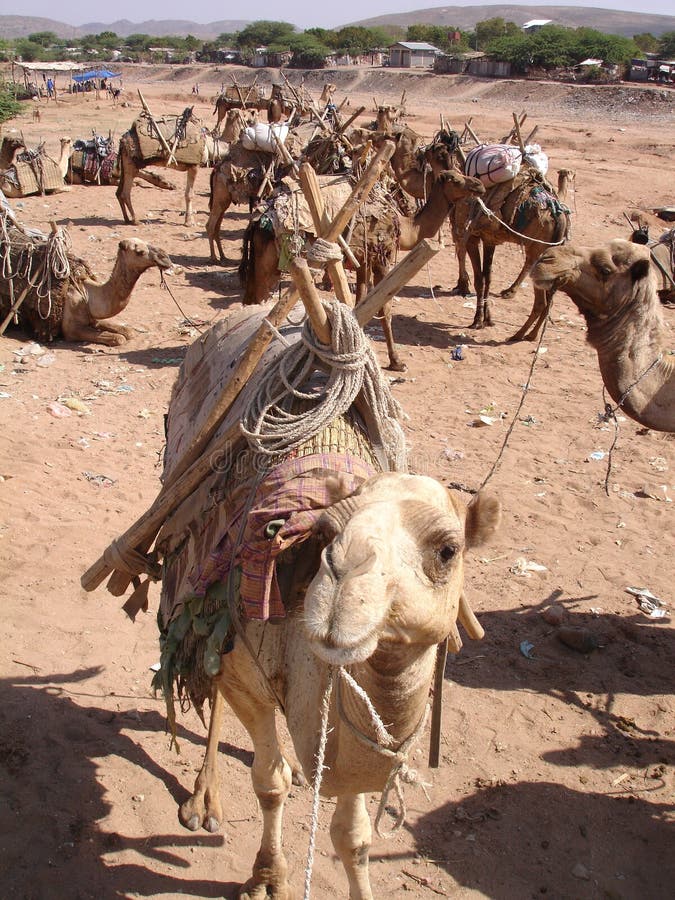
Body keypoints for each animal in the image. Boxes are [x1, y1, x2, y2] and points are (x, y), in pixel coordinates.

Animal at [0, 234, 177, 345]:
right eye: (139, 251)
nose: (166, 258)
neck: (87, 294)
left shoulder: (93, 318)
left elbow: (128, 331)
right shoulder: (71, 329)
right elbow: (119, 339)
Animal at [239, 170, 485, 370]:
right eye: (455, 179)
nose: (479, 185)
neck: (407, 228)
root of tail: (260, 219)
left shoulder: (363, 262)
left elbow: (360, 300)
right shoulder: (381, 258)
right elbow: (385, 309)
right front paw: (396, 361)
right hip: (271, 264)